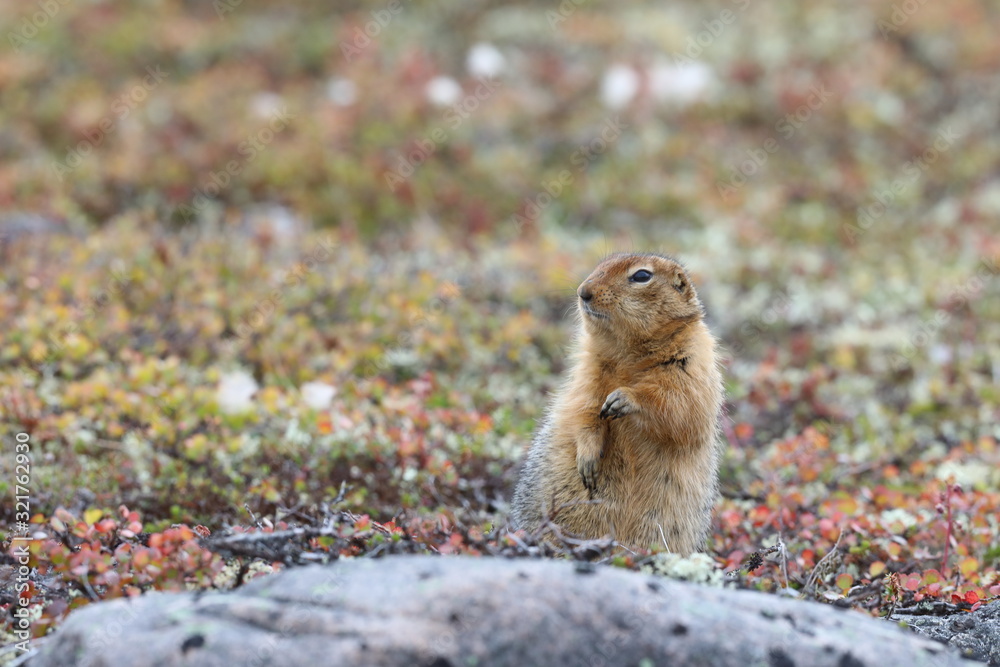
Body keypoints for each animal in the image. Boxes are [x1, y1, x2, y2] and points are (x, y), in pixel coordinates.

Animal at [512, 250, 724, 552]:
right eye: (600, 265)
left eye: (642, 275)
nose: (583, 291)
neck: (629, 355)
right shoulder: (587, 372)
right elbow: (582, 407)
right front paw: (588, 459)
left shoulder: (694, 362)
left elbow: (683, 404)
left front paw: (625, 399)